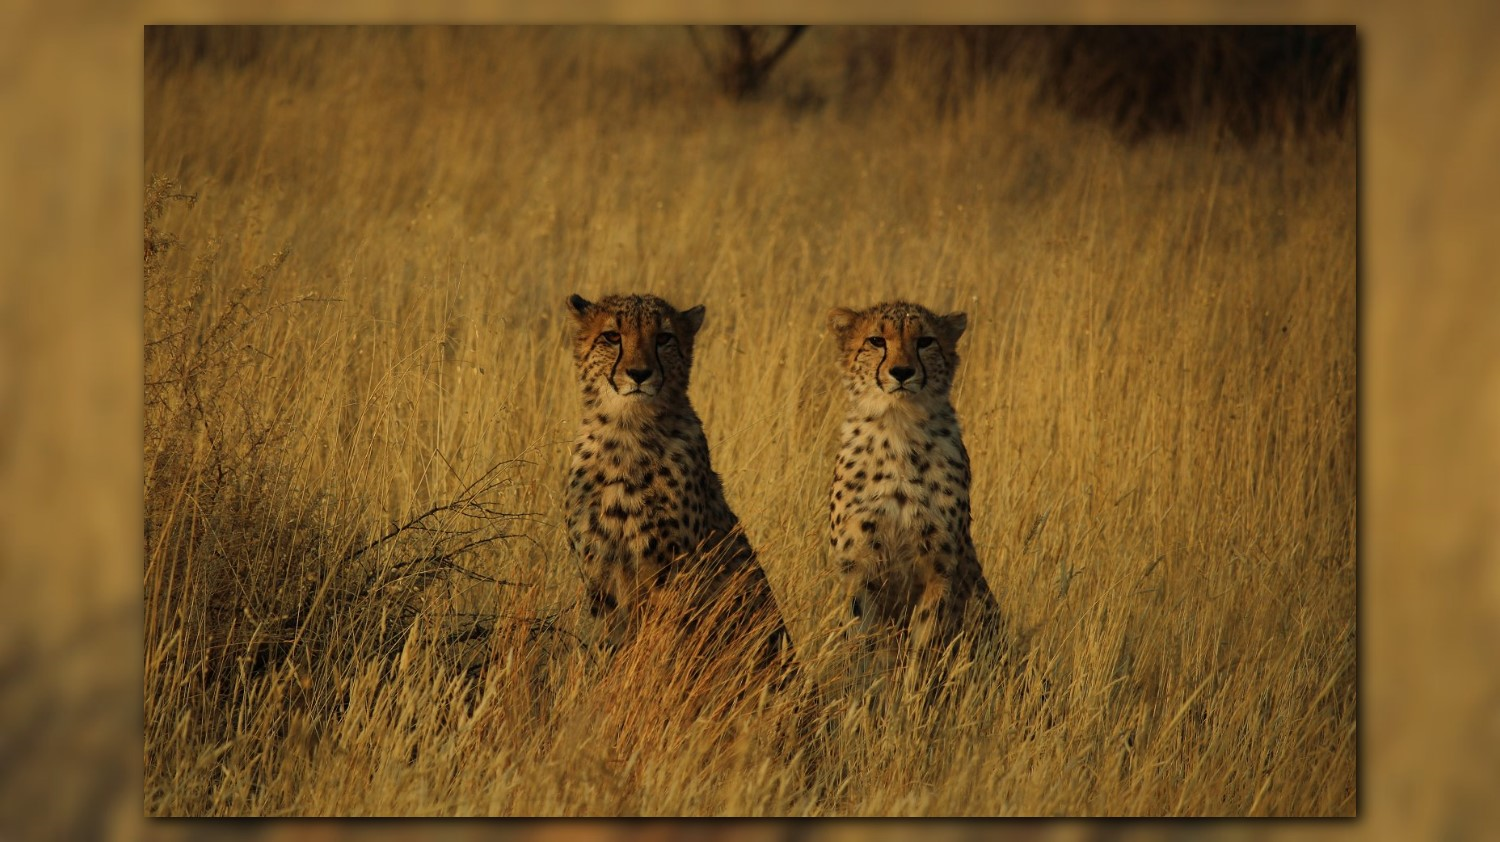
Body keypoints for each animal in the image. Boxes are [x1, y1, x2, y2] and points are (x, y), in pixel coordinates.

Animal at [825, 300, 1004, 688]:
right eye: (876, 340)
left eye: (925, 341)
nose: (902, 372)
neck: (898, 425)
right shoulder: (857, 570)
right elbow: (861, 647)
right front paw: (862, 697)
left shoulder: (939, 569)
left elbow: (924, 648)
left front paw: (911, 697)